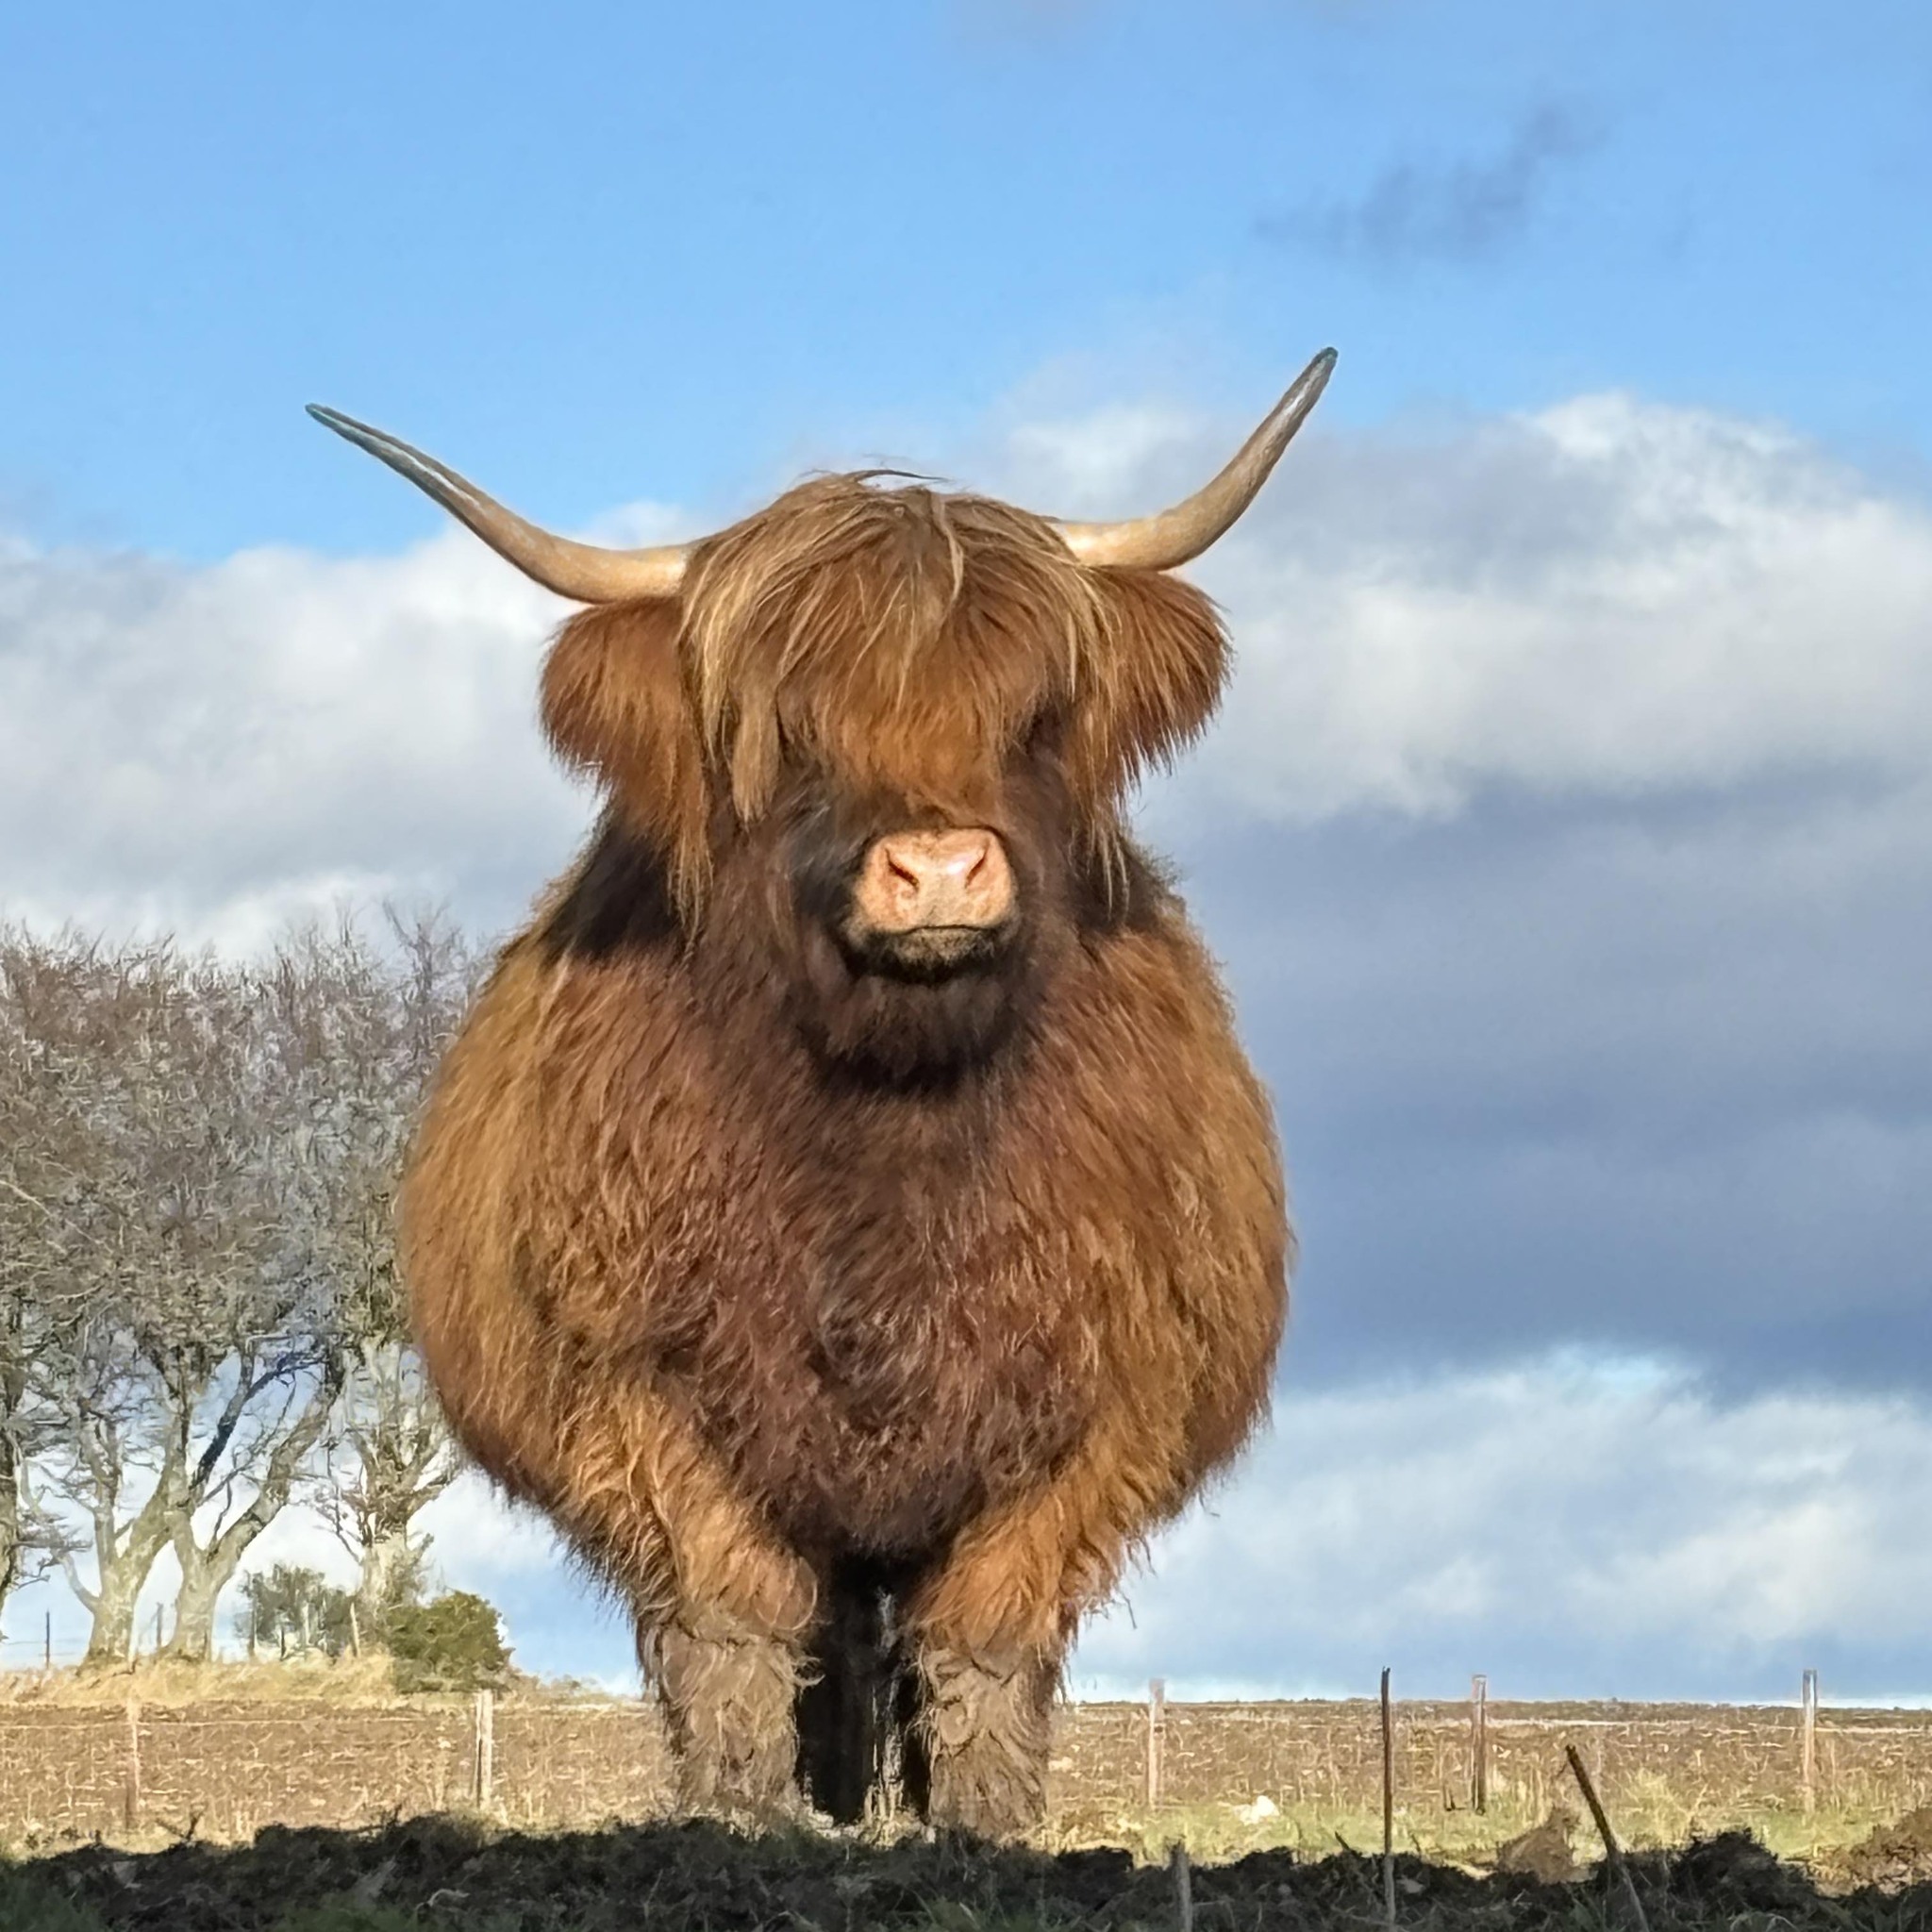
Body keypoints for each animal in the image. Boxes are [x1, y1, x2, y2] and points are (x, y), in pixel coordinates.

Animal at [309, 348, 1332, 1837]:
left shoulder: (1106, 1395)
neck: (886, 1137)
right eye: (792, 730)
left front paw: (987, 1820)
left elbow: (987, 1632)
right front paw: (739, 1810)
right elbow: (733, 1620)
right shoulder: (640, 1384)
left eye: (1031, 717)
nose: (939, 868)